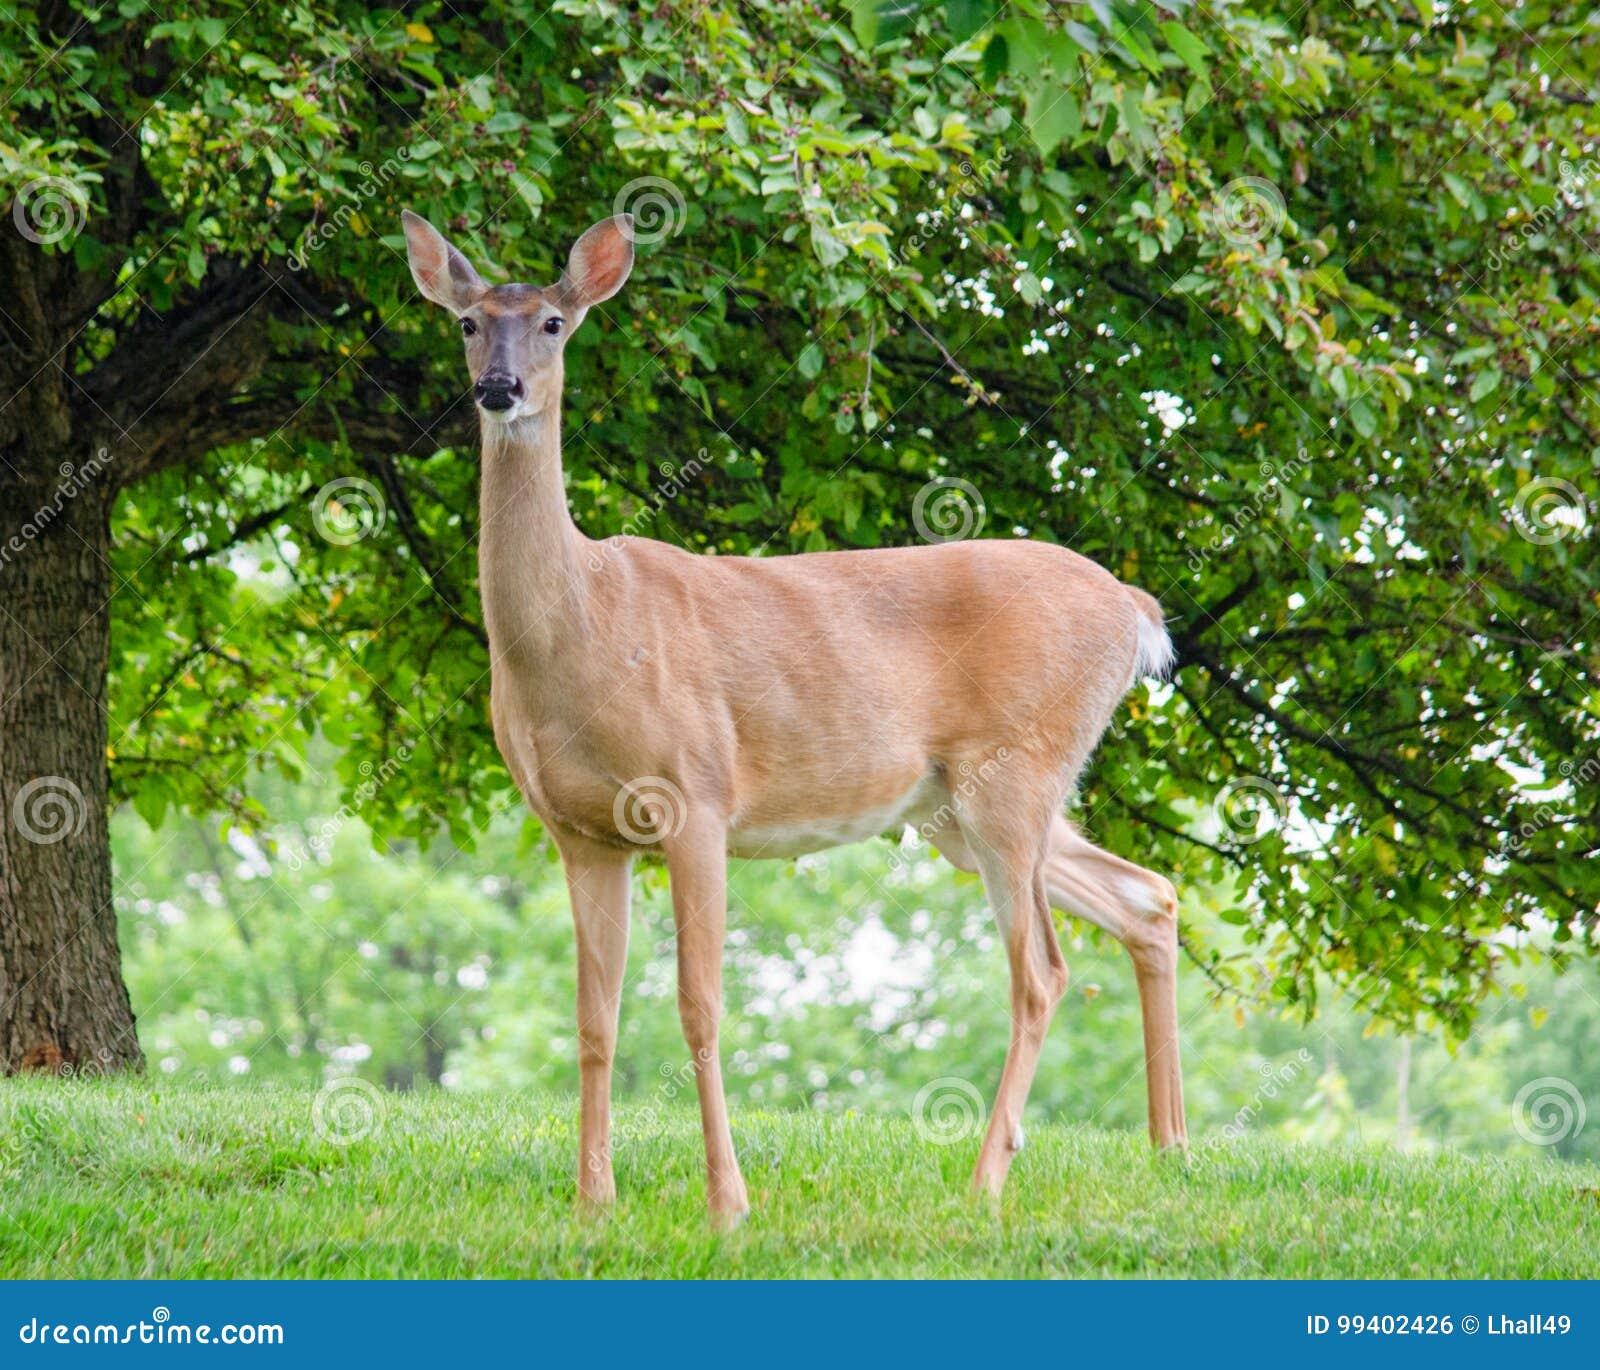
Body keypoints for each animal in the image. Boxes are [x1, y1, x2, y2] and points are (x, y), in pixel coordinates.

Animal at [401, 208, 1187, 1226]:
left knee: (1042, 972)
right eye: (466, 322)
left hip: (1016, 766)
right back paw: (1168, 1150)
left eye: (553, 323)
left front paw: (728, 1205)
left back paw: (984, 1182)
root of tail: (1134, 610)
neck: (585, 631)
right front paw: (593, 1205)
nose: (498, 389)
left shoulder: (695, 793)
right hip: (957, 808)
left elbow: (698, 1005)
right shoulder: (581, 832)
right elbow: (594, 1018)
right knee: (1147, 895)